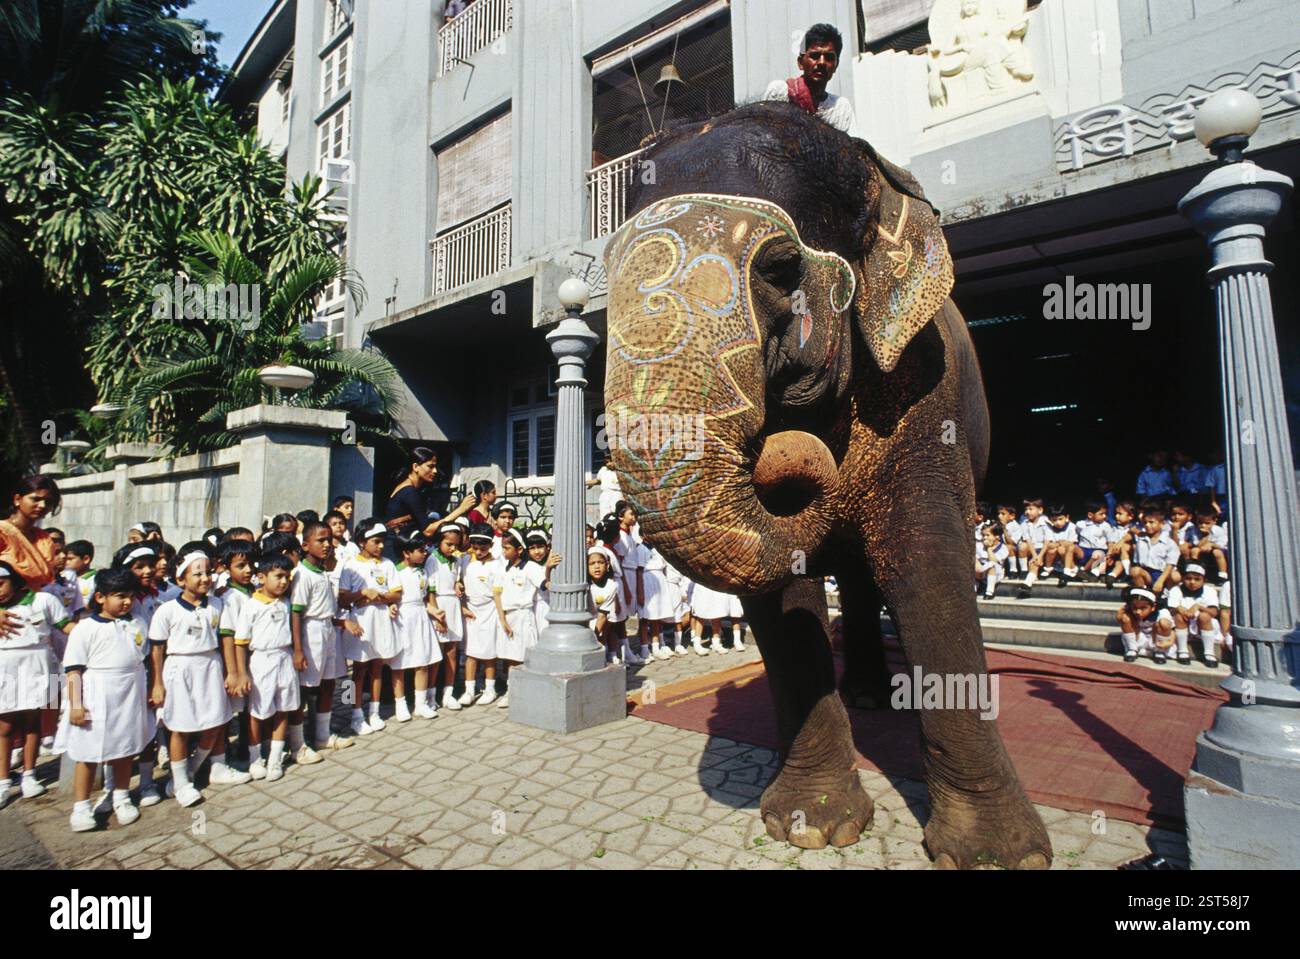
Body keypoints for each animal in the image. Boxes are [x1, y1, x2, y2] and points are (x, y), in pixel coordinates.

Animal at [601, 101, 1051, 869]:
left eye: (781, 268)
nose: (783, 456)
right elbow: (783, 596)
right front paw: (810, 824)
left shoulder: (927, 389)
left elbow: (926, 561)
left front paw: (1001, 855)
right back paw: (862, 697)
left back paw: (878, 697)